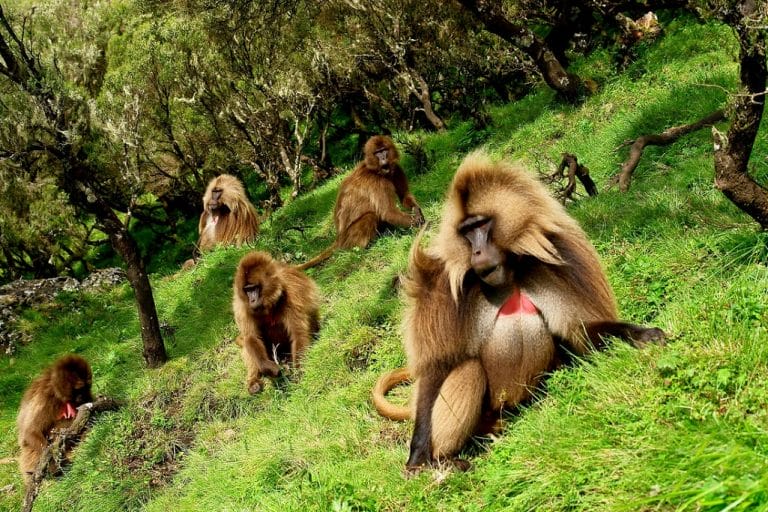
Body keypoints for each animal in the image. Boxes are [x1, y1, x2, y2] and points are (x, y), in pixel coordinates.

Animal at [16, 354, 93, 486]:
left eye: (85, 388)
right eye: (79, 389)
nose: (82, 397)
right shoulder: (46, 397)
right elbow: (31, 432)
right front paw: (53, 464)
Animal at [233, 251, 321, 394]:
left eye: (254, 288)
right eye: (247, 290)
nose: (252, 300)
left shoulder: (292, 291)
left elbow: (298, 333)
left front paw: (299, 373)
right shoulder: (241, 305)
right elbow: (251, 338)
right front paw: (268, 368)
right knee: (247, 342)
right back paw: (254, 381)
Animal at [298, 135, 424, 270]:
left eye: (384, 150)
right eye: (377, 153)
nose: (383, 158)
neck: (376, 171)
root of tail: (338, 238)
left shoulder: (396, 169)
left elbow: (404, 196)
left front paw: (417, 212)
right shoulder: (377, 182)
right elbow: (388, 213)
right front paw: (420, 224)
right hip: (349, 240)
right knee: (370, 216)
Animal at [372, 151, 666, 471]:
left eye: (481, 225)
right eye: (466, 231)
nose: (476, 253)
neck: (508, 276)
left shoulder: (558, 256)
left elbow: (580, 331)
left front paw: (640, 334)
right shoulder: (439, 288)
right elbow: (438, 366)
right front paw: (418, 454)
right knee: (468, 369)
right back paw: (445, 460)